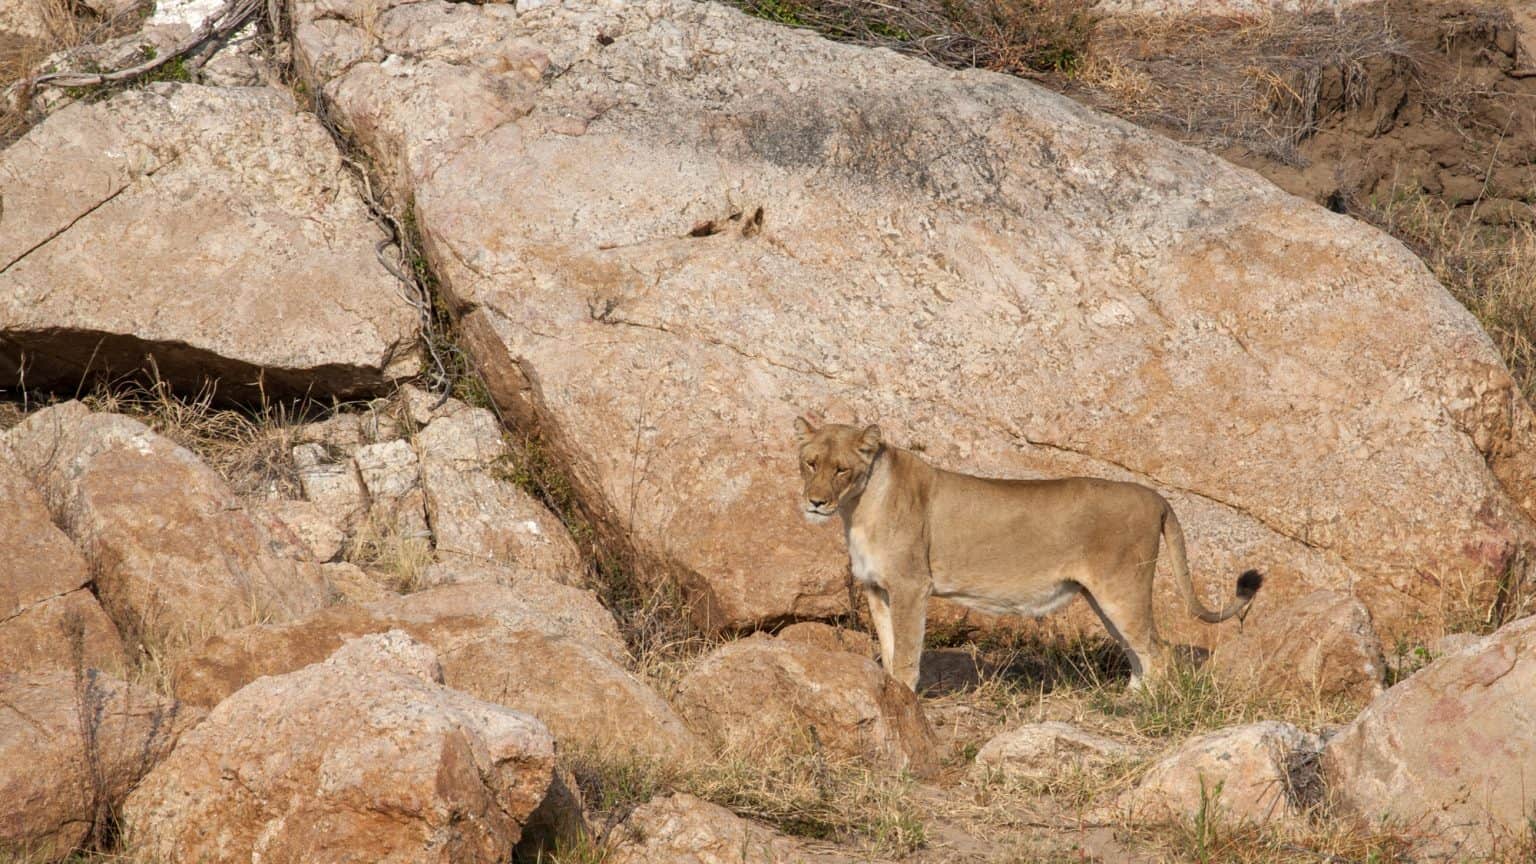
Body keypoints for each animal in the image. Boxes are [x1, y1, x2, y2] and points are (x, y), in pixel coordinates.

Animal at [794, 418, 1262, 691]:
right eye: (810, 463)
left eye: (841, 469)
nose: (815, 502)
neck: (857, 508)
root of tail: (1157, 496)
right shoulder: (877, 589)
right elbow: (890, 650)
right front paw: (893, 701)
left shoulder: (911, 586)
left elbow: (907, 655)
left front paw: (906, 706)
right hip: (1103, 598)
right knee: (1139, 652)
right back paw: (1126, 701)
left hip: (1122, 589)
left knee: (1160, 654)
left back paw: (1142, 711)